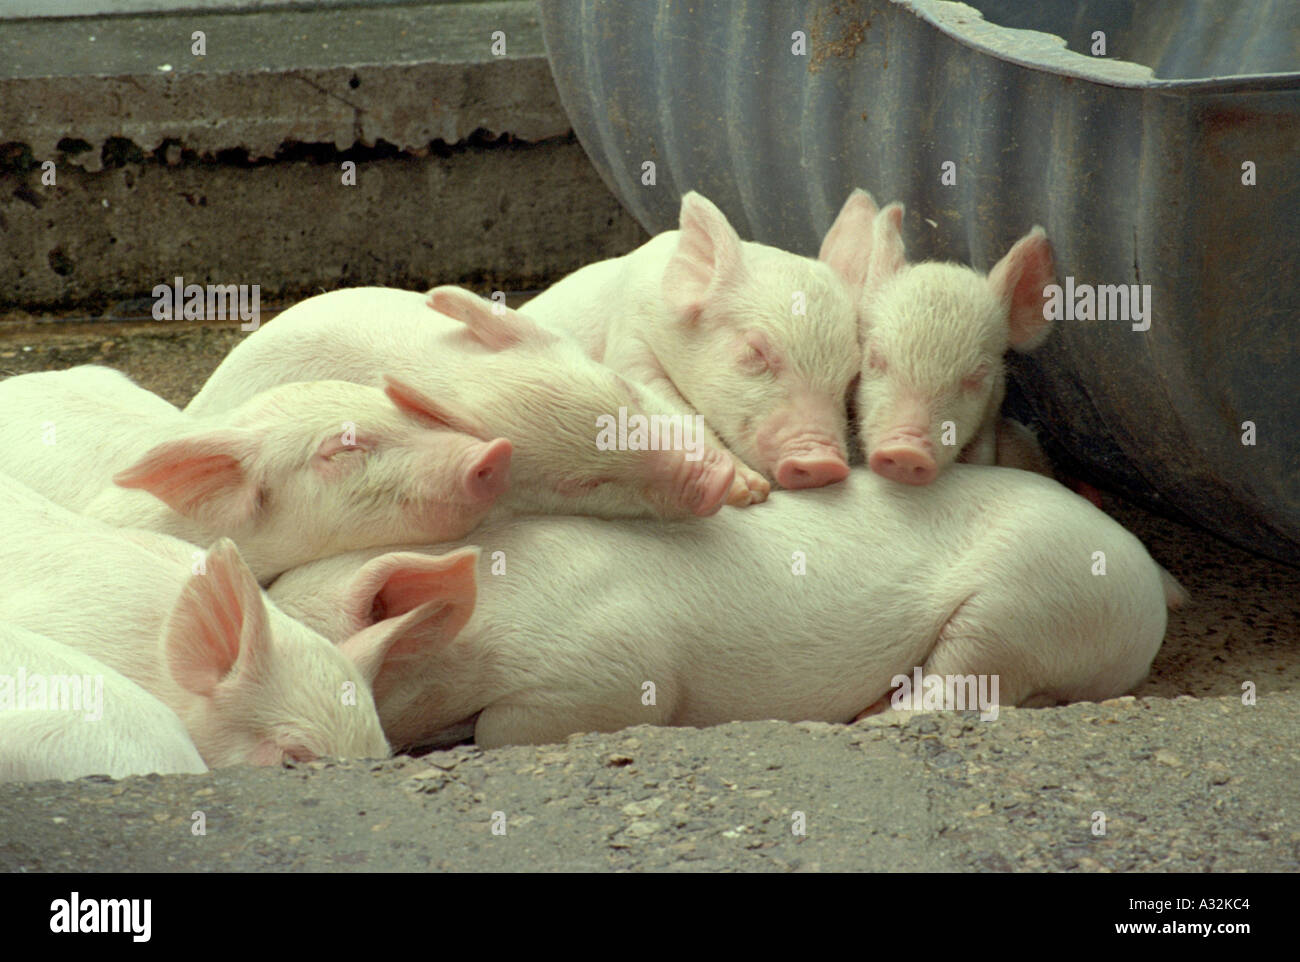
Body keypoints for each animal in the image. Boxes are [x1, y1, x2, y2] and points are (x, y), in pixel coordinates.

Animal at [270, 466, 1170, 750]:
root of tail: (1151, 575)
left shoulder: (605, 666)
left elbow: (512, 729)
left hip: (1034, 590)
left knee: (964, 682)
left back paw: (859, 720)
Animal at [522, 190, 879, 500]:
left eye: (851, 377)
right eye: (755, 351)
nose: (823, 463)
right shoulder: (630, 340)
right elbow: (678, 412)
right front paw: (749, 492)